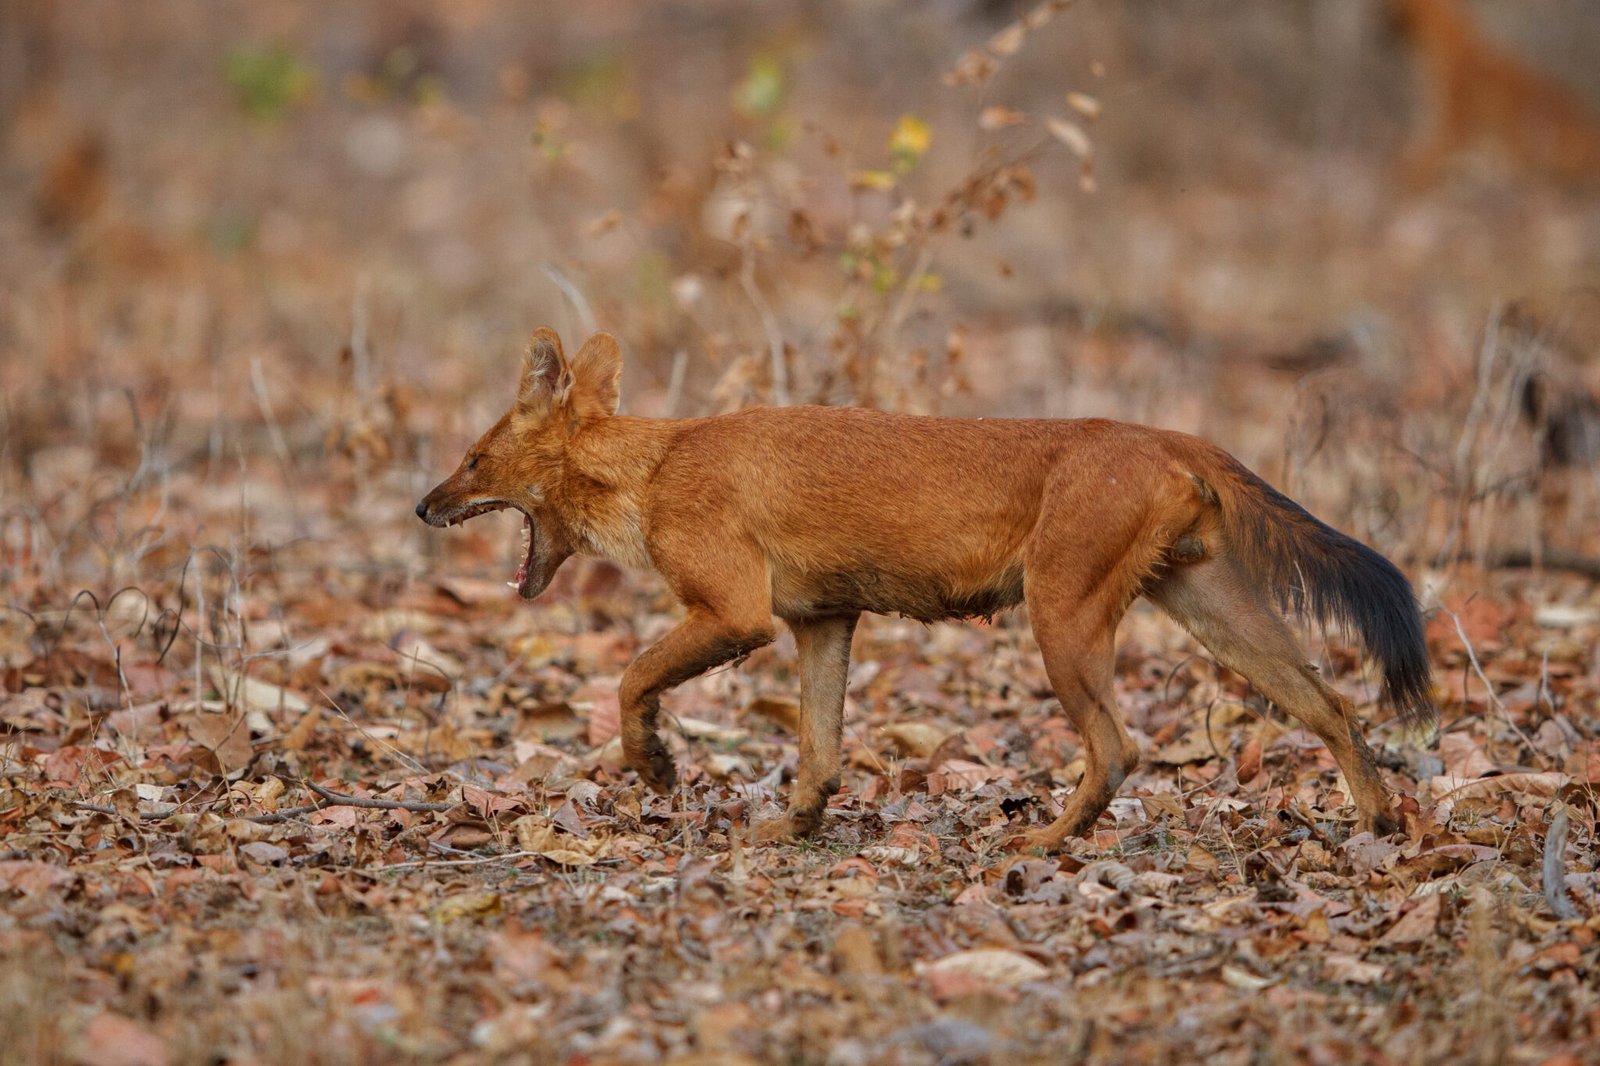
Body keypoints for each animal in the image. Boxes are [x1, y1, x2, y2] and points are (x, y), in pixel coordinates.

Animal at [416, 328, 1435, 850]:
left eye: (472, 458)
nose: (423, 504)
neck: (656, 469)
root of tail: (1169, 434)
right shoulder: (823, 621)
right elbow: (821, 748)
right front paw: (794, 827)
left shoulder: (736, 614)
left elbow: (630, 677)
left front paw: (657, 768)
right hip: (1214, 616)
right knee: (1334, 705)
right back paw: (1383, 824)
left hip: (1062, 619)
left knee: (1120, 747)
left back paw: (1042, 844)